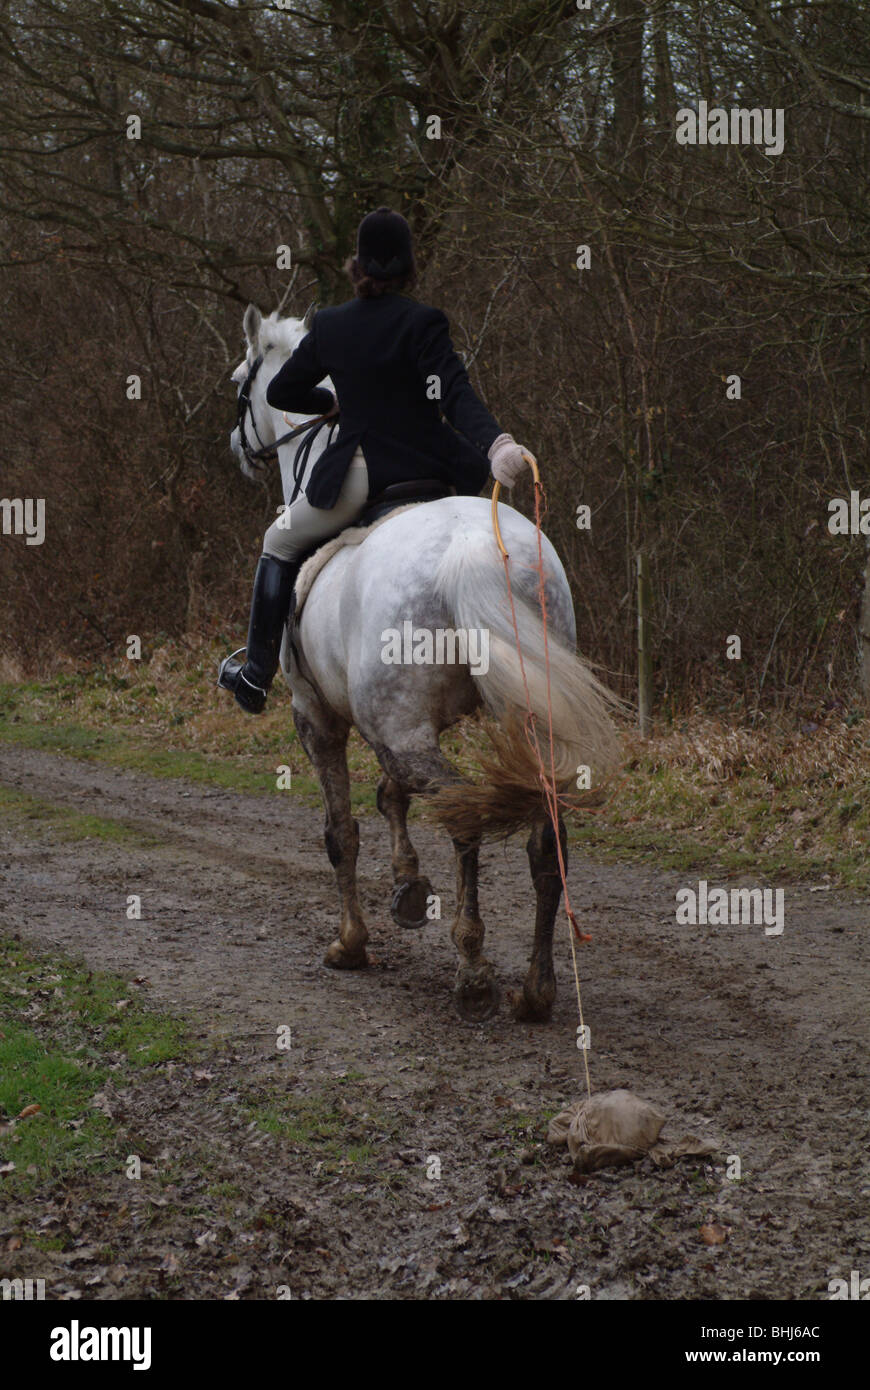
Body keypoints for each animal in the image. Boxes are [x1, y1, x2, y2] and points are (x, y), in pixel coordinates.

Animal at [229, 304, 620, 1022]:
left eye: (242, 381)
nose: (237, 448)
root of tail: (473, 548)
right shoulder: (400, 726)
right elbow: (391, 795)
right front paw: (409, 887)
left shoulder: (317, 716)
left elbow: (342, 830)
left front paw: (352, 943)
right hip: (519, 720)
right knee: (542, 839)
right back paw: (535, 990)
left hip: (396, 726)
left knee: (464, 815)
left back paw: (472, 972)